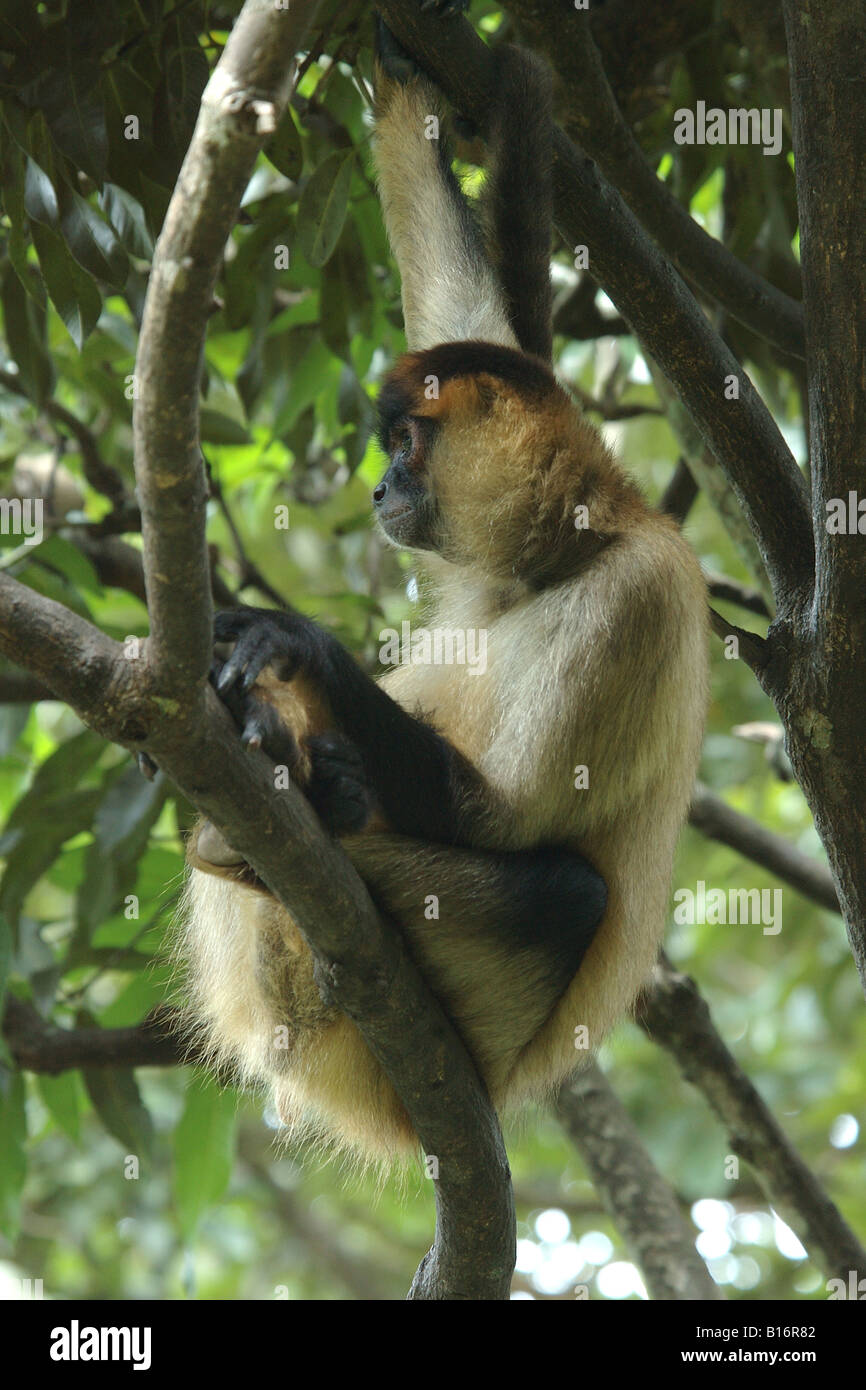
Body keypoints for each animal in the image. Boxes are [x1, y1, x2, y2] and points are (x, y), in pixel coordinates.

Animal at [178, 8, 709, 1165]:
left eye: (404, 445)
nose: (379, 485)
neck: (552, 563)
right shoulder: (471, 564)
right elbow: (452, 285)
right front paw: (397, 65)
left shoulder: (644, 587)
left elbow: (506, 821)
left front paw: (296, 646)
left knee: (563, 893)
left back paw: (293, 806)